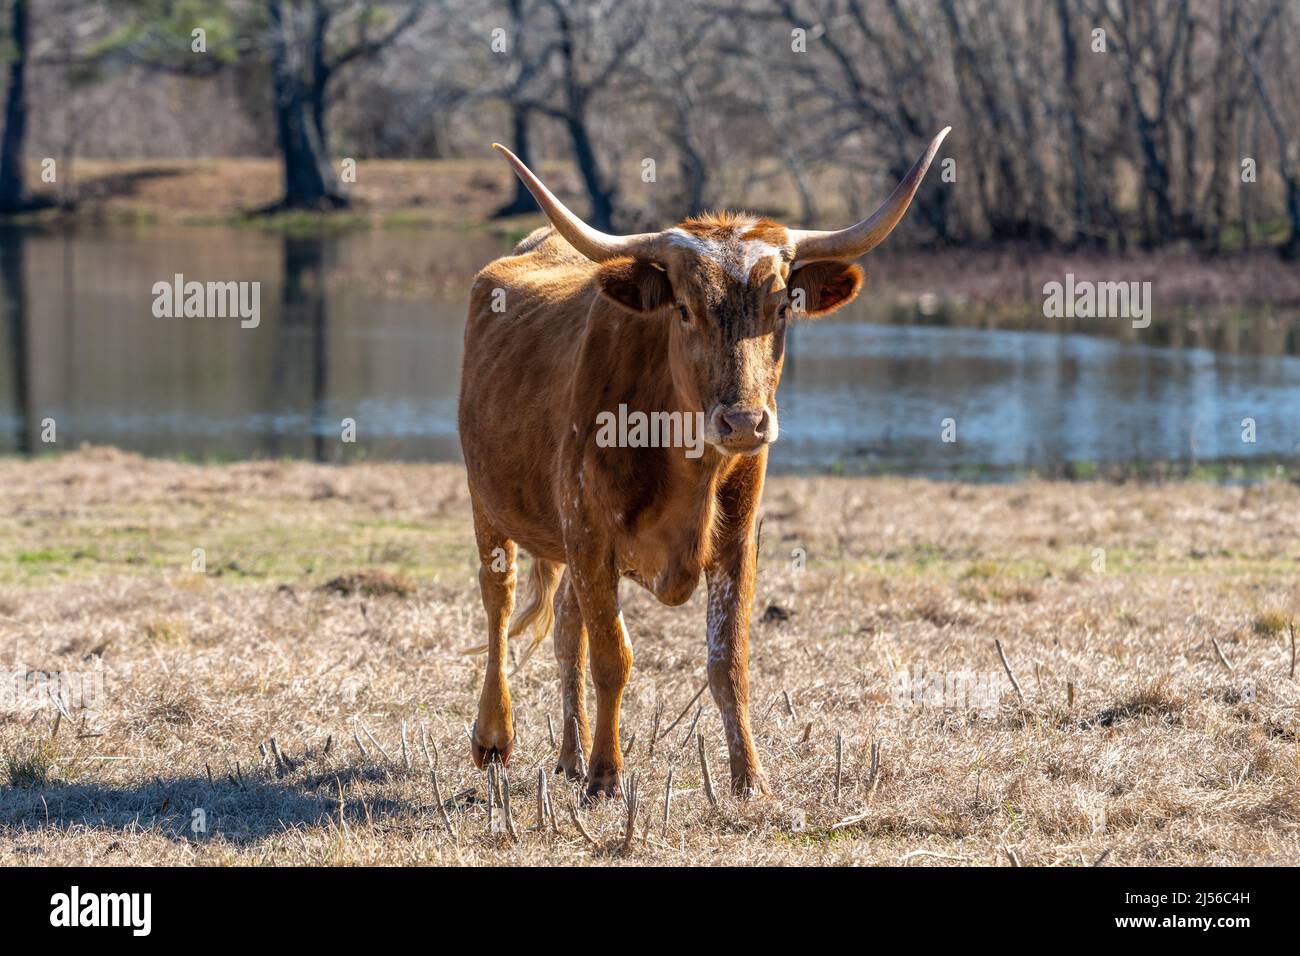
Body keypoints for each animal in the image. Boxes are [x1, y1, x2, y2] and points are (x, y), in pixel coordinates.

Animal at [458, 128, 949, 798]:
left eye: (781, 309)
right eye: (684, 309)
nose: (744, 423)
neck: (684, 465)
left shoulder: (737, 542)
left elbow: (727, 662)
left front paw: (750, 780)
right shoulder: (589, 535)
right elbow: (614, 657)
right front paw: (607, 776)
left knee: (565, 632)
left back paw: (569, 756)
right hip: (488, 507)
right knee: (499, 605)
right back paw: (496, 738)